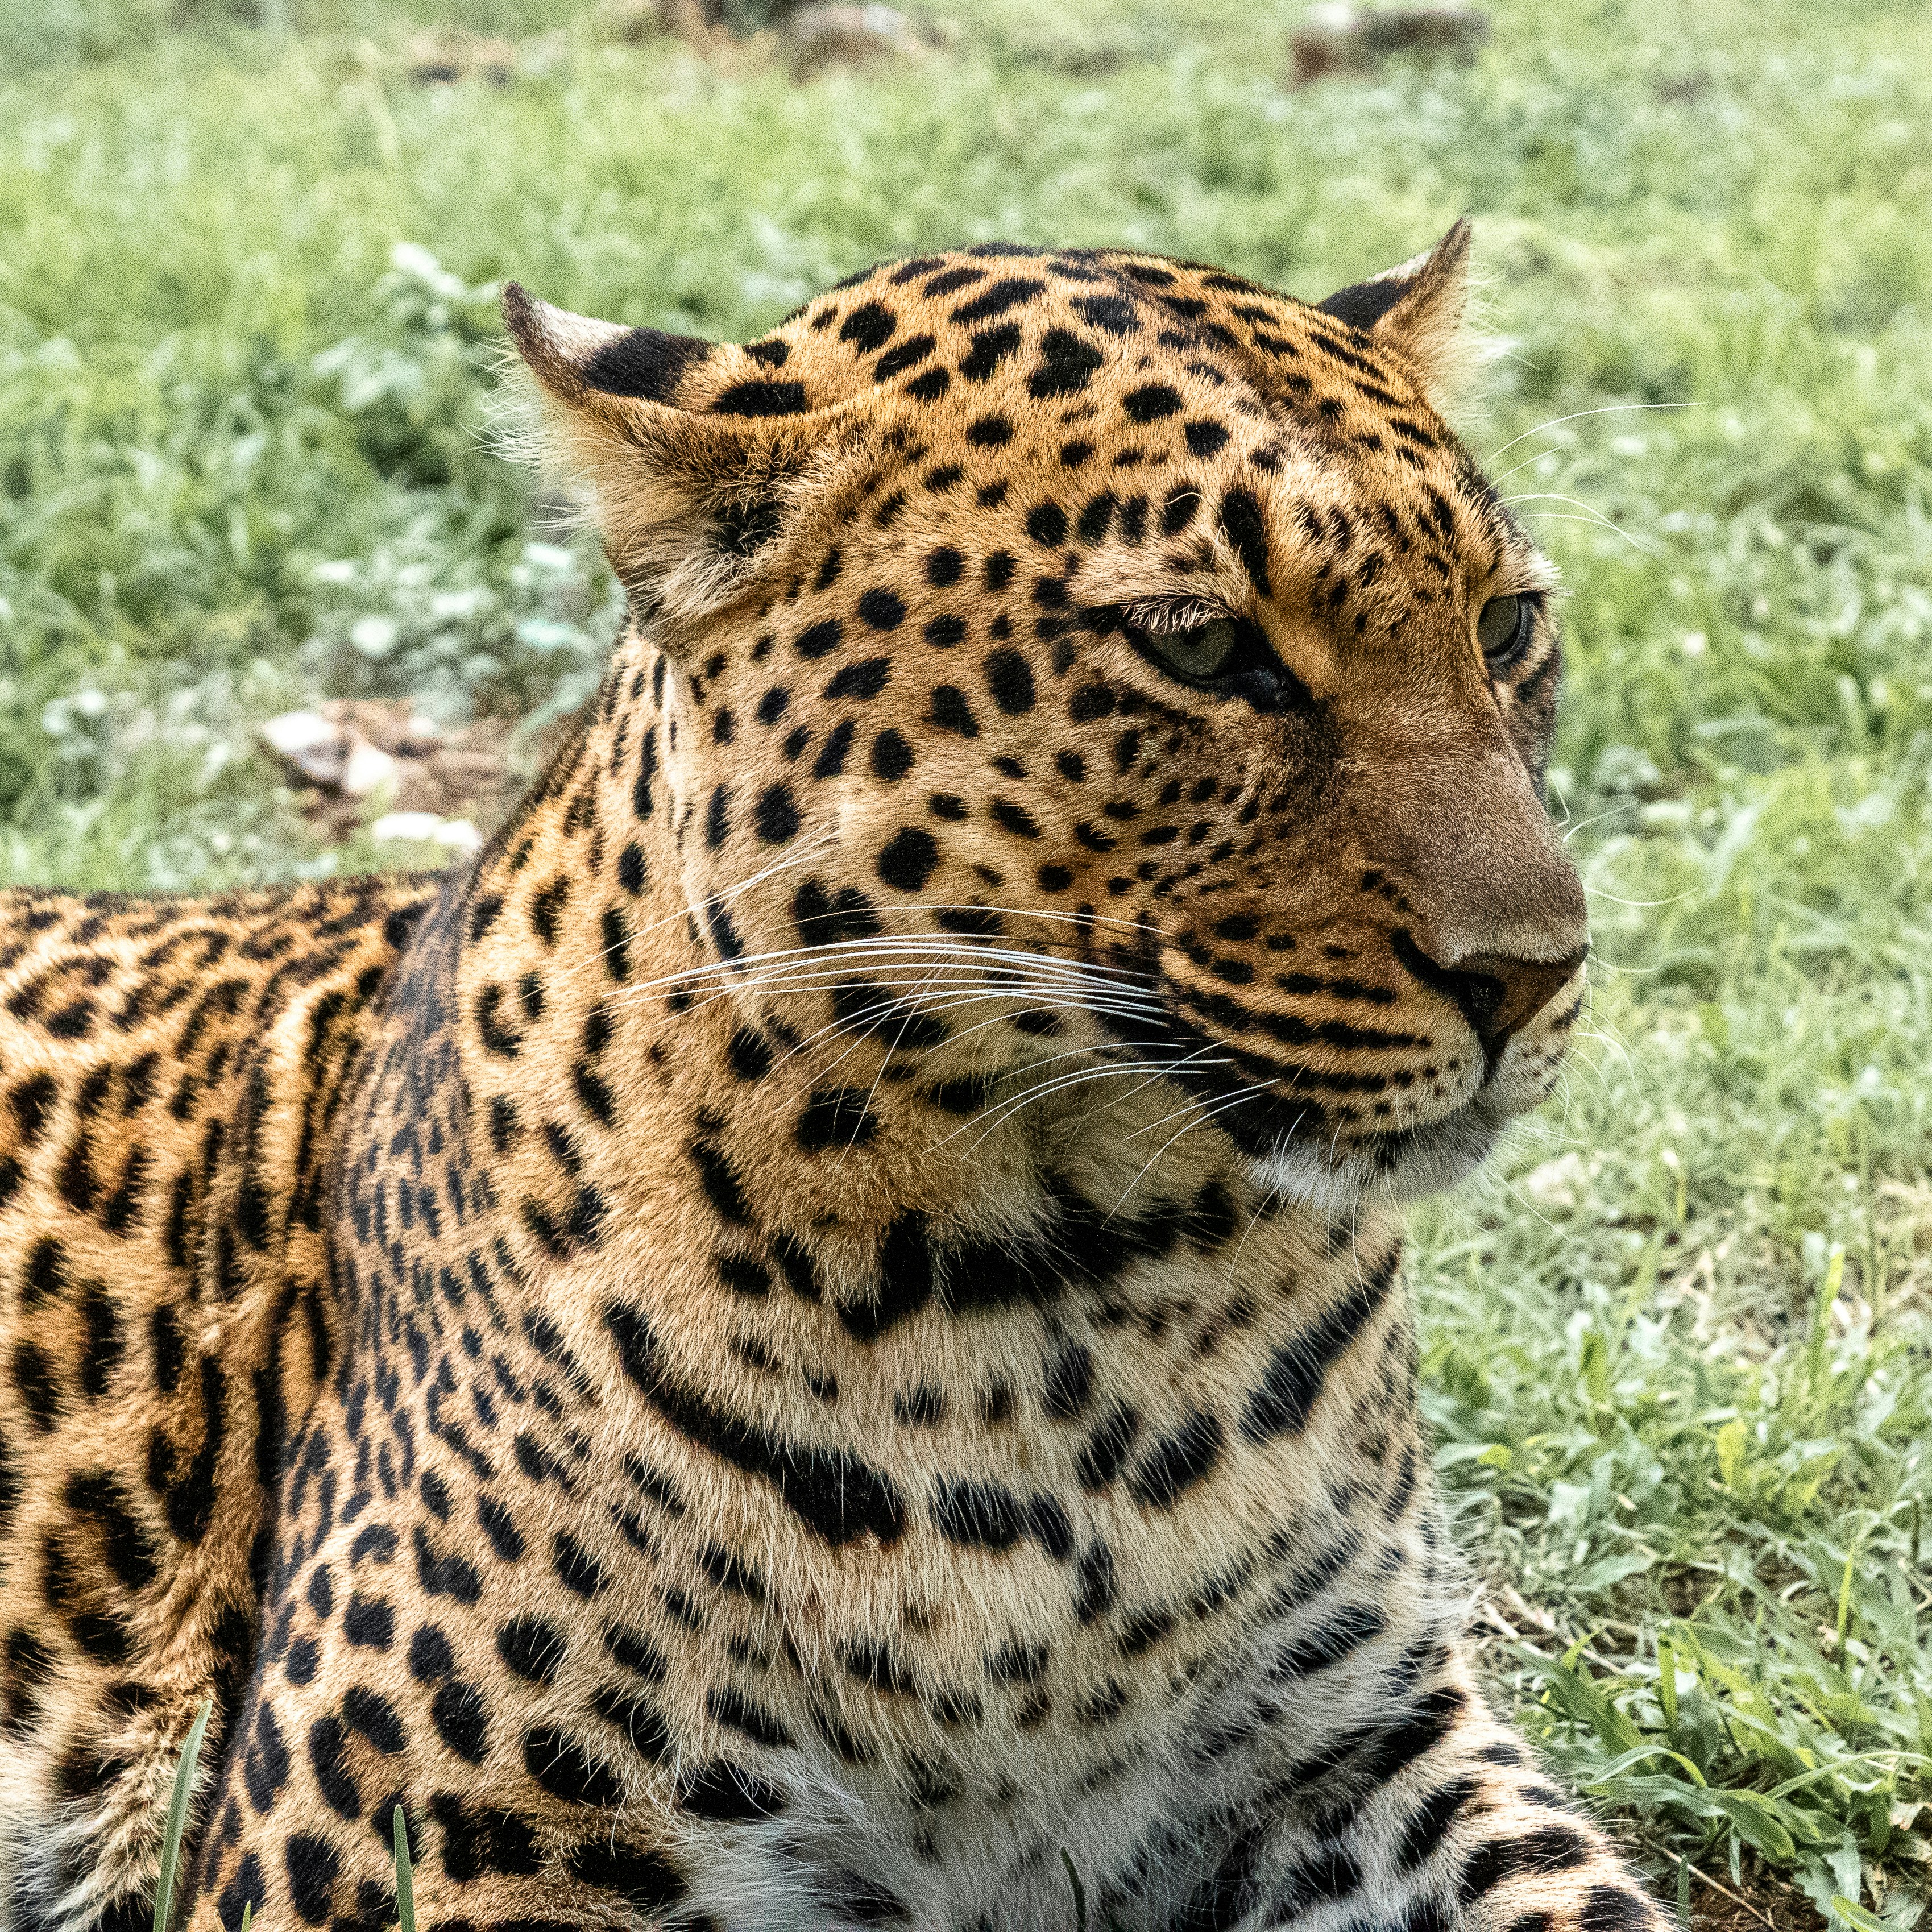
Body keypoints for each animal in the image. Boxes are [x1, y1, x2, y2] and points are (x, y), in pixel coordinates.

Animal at [0, 220, 1657, 1932]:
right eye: (1199, 643)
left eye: (1504, 627)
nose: (1536, 968)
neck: (1084, 1316)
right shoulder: (415, 1838)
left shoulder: (1359, 1727)